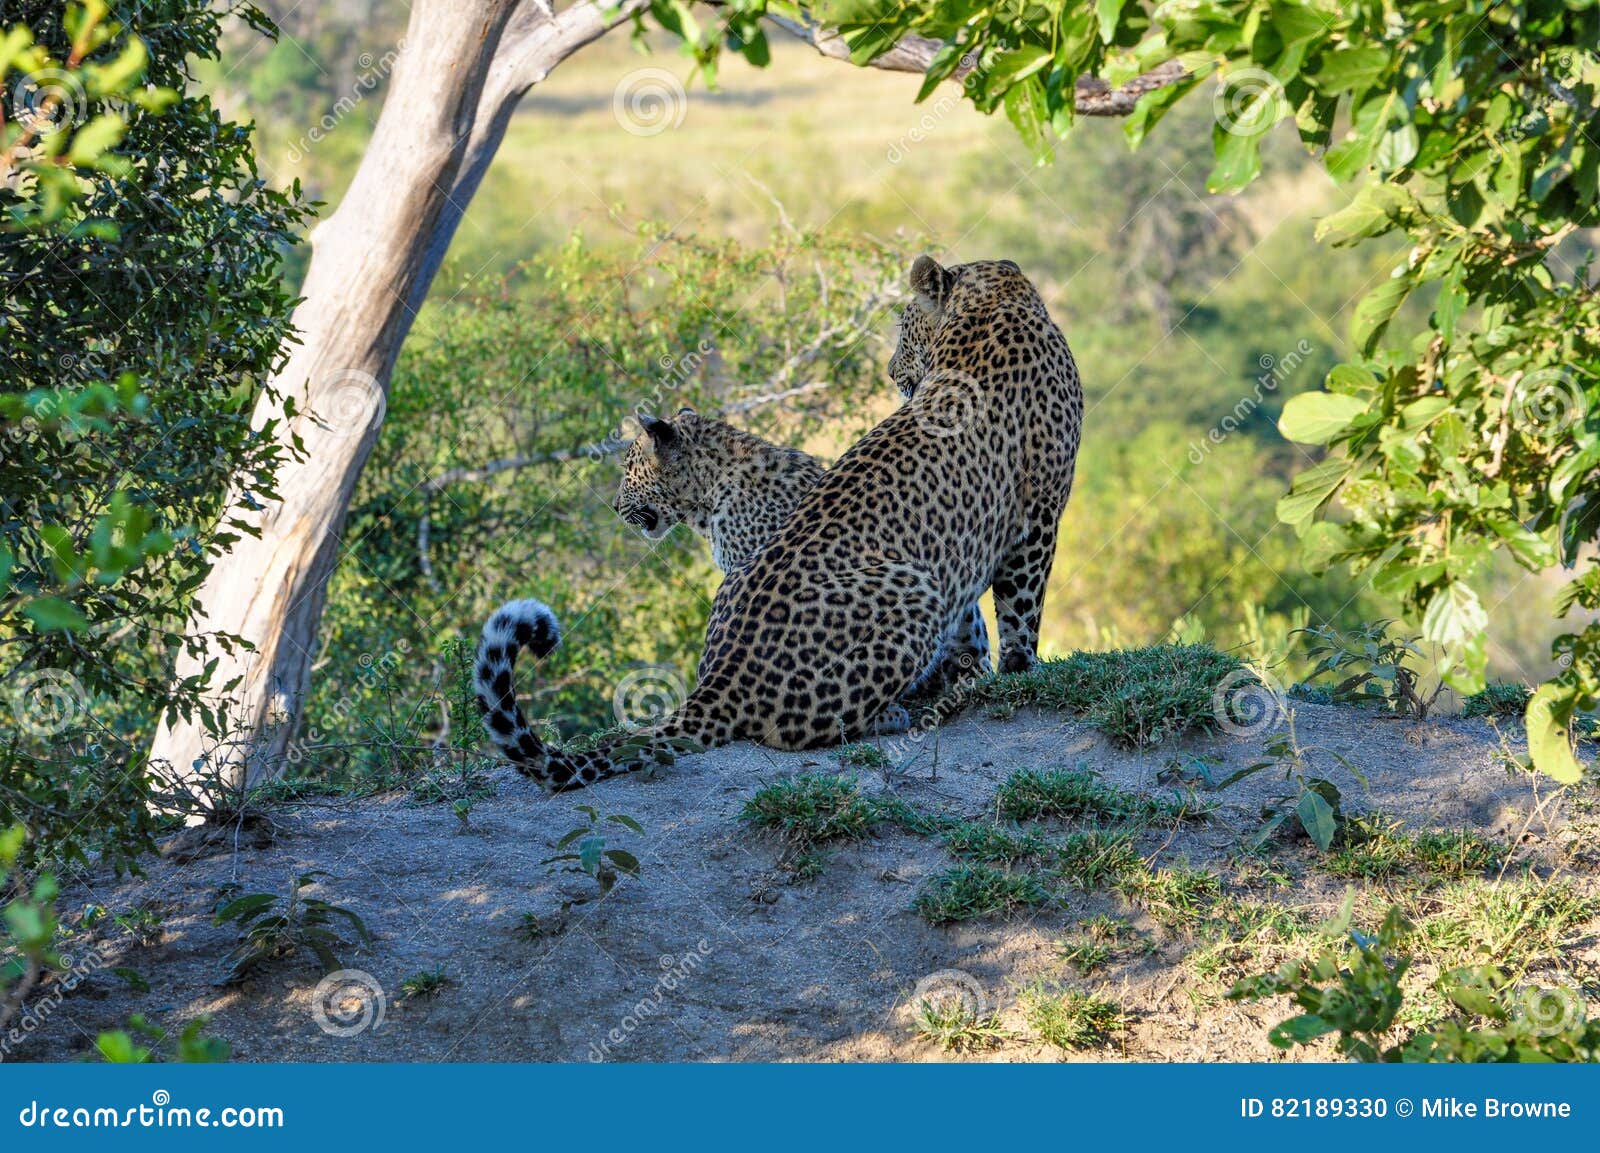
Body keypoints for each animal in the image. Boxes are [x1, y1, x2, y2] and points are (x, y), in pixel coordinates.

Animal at [475, 255, 1083, 790]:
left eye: (629, 470)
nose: (617, 507)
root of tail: (722, 684)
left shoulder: (1037, 514)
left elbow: (1018, 615)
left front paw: (1016, 673)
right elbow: (1009, 614)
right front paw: (1004, 675)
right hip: (912, 585)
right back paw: (900, 711)